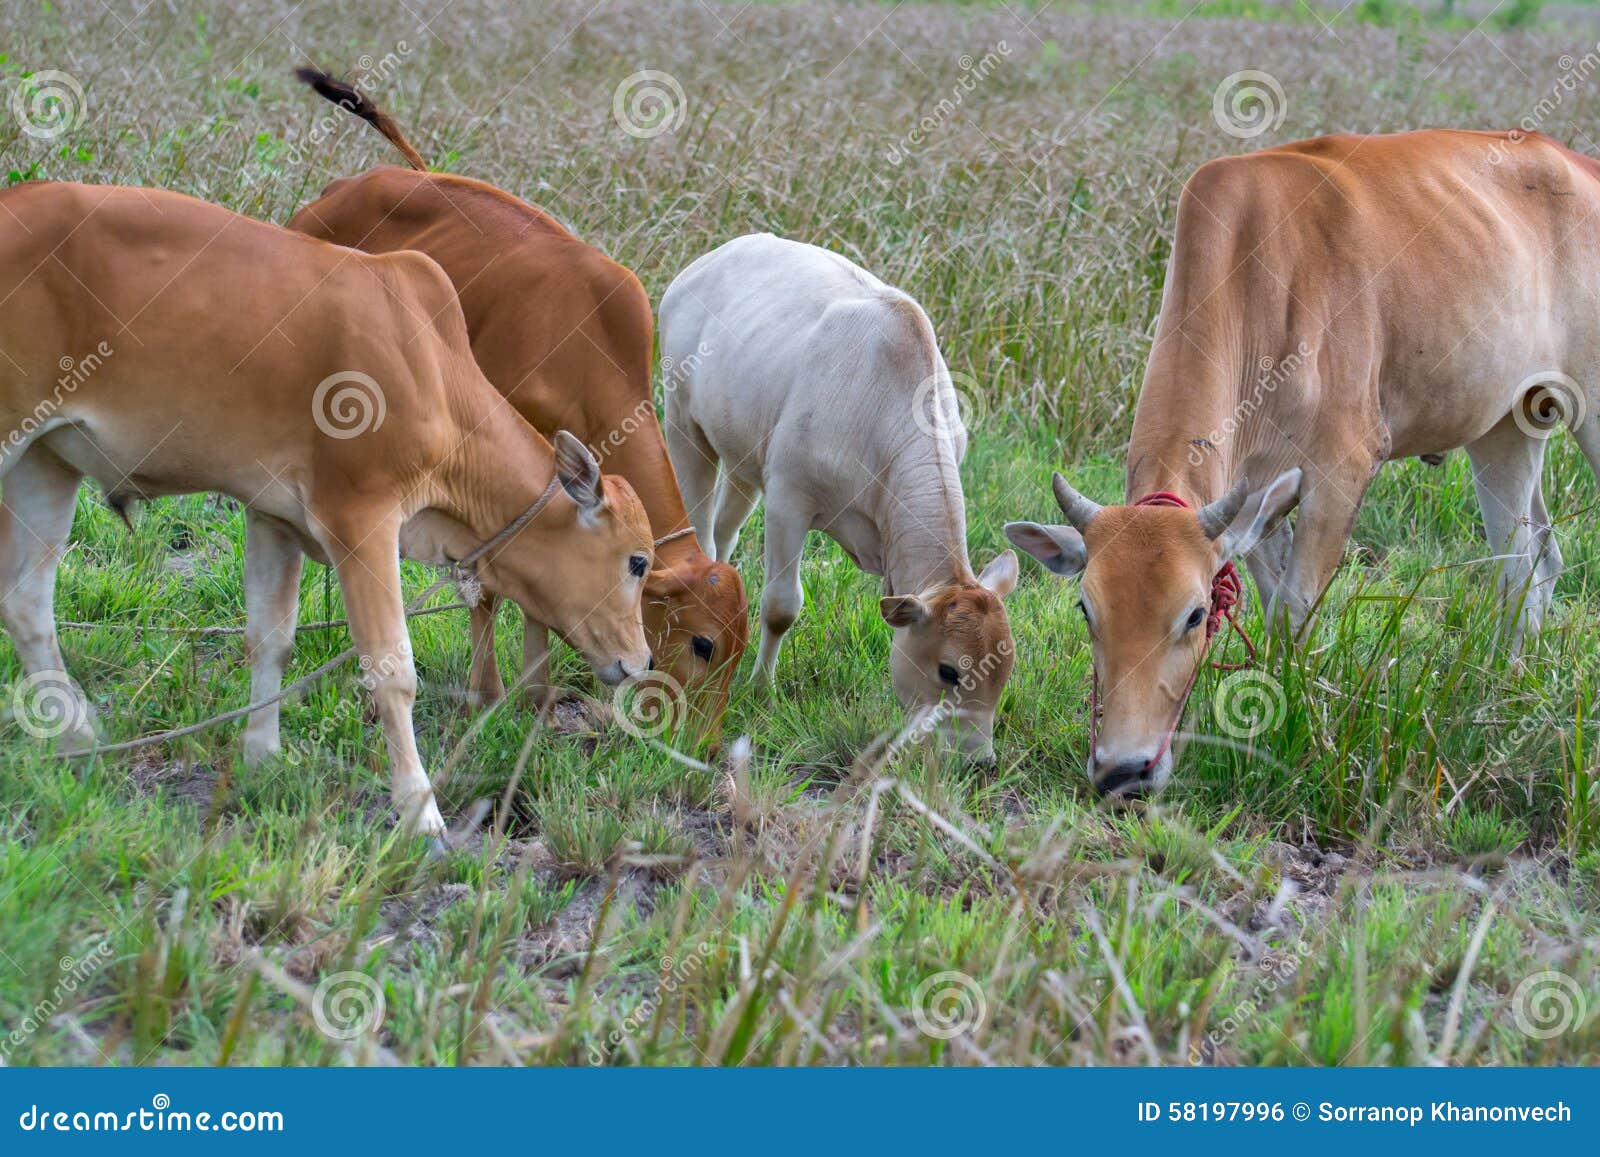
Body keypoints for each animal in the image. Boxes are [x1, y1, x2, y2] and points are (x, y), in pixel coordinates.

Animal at [0, 181, 654, 836]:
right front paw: (422, 816)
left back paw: (77, 739)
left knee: (28, 604)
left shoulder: (272, 517)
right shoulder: (361, 519)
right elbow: (392, 671)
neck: (436, 375)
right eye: (638, 561)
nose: (641, 660)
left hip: (45, 462)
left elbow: (271, 638)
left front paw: (262, 757)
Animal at [285, 69, 748, 744]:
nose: (706, 745)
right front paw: (490, 692)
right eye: (704, 644)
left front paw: (538, 693)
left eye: (742, 648)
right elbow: (487, 586)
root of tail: (343, 189)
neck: (588, 339)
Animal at [659, 234, 1018, 760]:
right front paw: (761, 689)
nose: (976, 759)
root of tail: (712, 258)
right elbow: (781, 606)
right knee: (701, 528)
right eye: (949, 671)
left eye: (1005, 672)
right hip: (684, 423)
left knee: (725, 530)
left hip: (744, 454)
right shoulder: (788, 499)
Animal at [1005, 128, 1600, 799]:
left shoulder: (1342, 468)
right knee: (1529, 559)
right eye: (1087, 609)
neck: (1253, 271)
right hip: (1506, 427)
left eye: (1196, 614)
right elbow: (1272, 609)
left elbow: (1294, 614)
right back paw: (1503, 690)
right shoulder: (1259, 499)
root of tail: (1575, 162)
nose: (1123, 771)